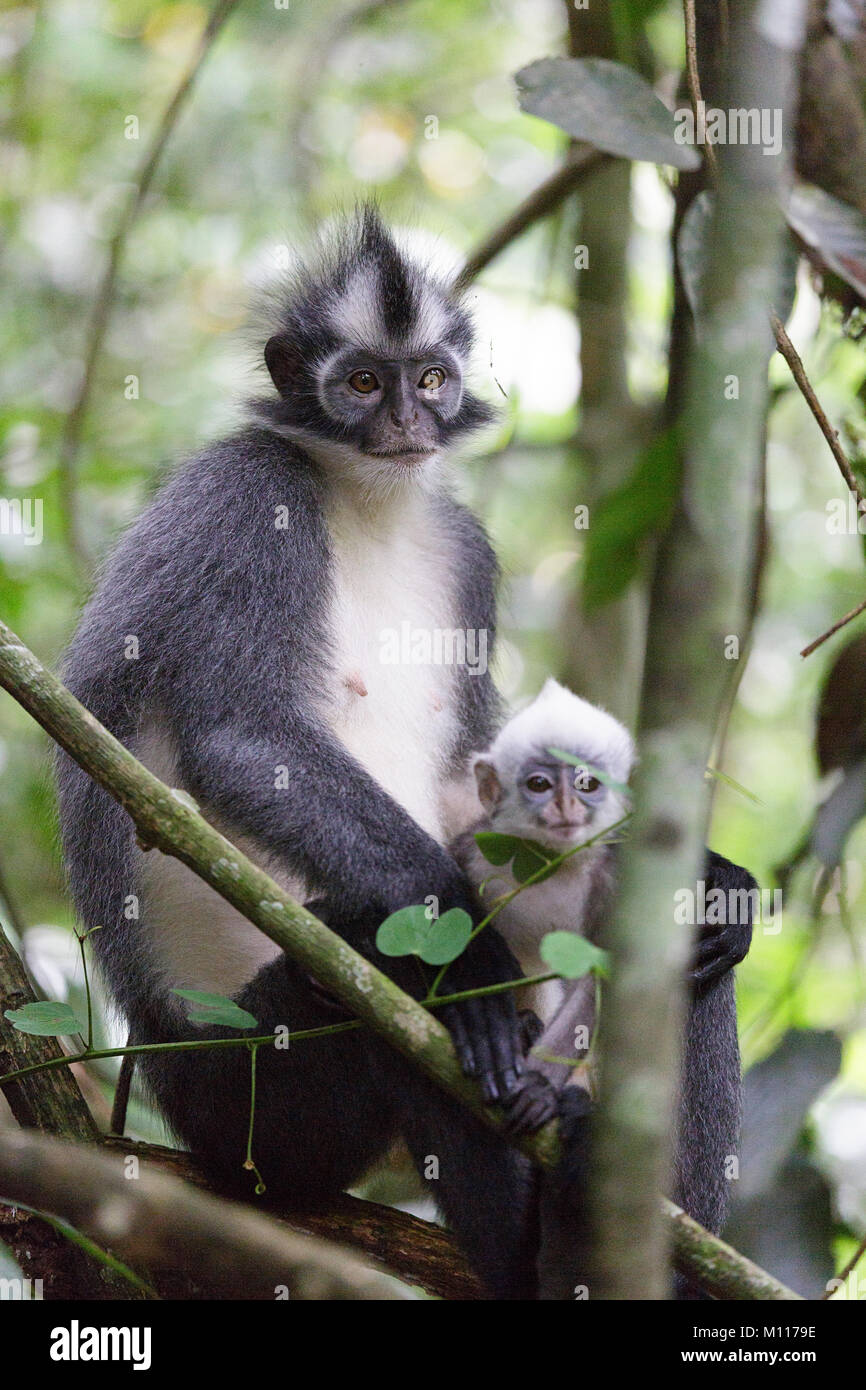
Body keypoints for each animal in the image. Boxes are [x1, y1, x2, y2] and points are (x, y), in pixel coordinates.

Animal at [449, 679, 754, 1296]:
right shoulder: (474, 852)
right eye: (539, 783)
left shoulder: (614, 882)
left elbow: (602, 980)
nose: (568, 807)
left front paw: (538, 1091)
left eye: (588, 782)